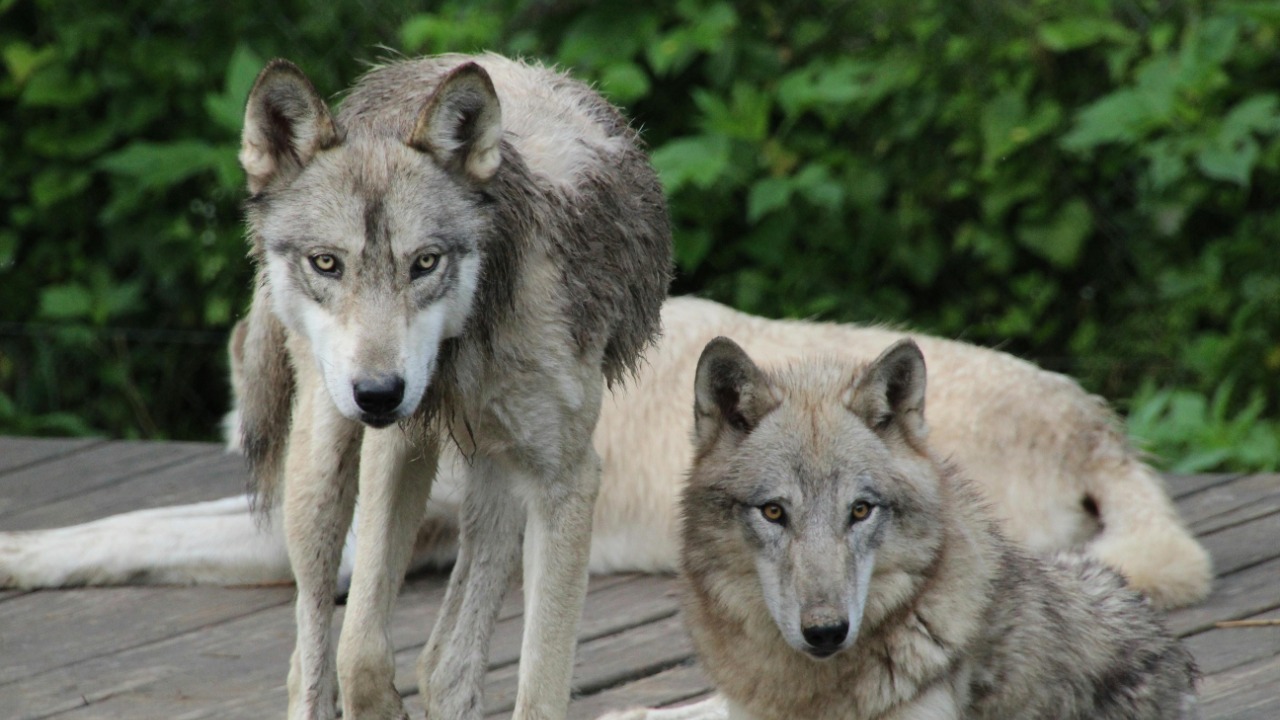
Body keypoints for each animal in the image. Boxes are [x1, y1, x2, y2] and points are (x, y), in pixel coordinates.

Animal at [232, 52, 670, 720]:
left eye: (426, 263)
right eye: (327, 263)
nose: (379, 393)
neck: (467, 346)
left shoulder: (566, 481)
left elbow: (541, 684)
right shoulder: (393, 446)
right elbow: (360, 653)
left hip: (498, 471)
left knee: (444, 666)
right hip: (324, 467)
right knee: (313, 646)